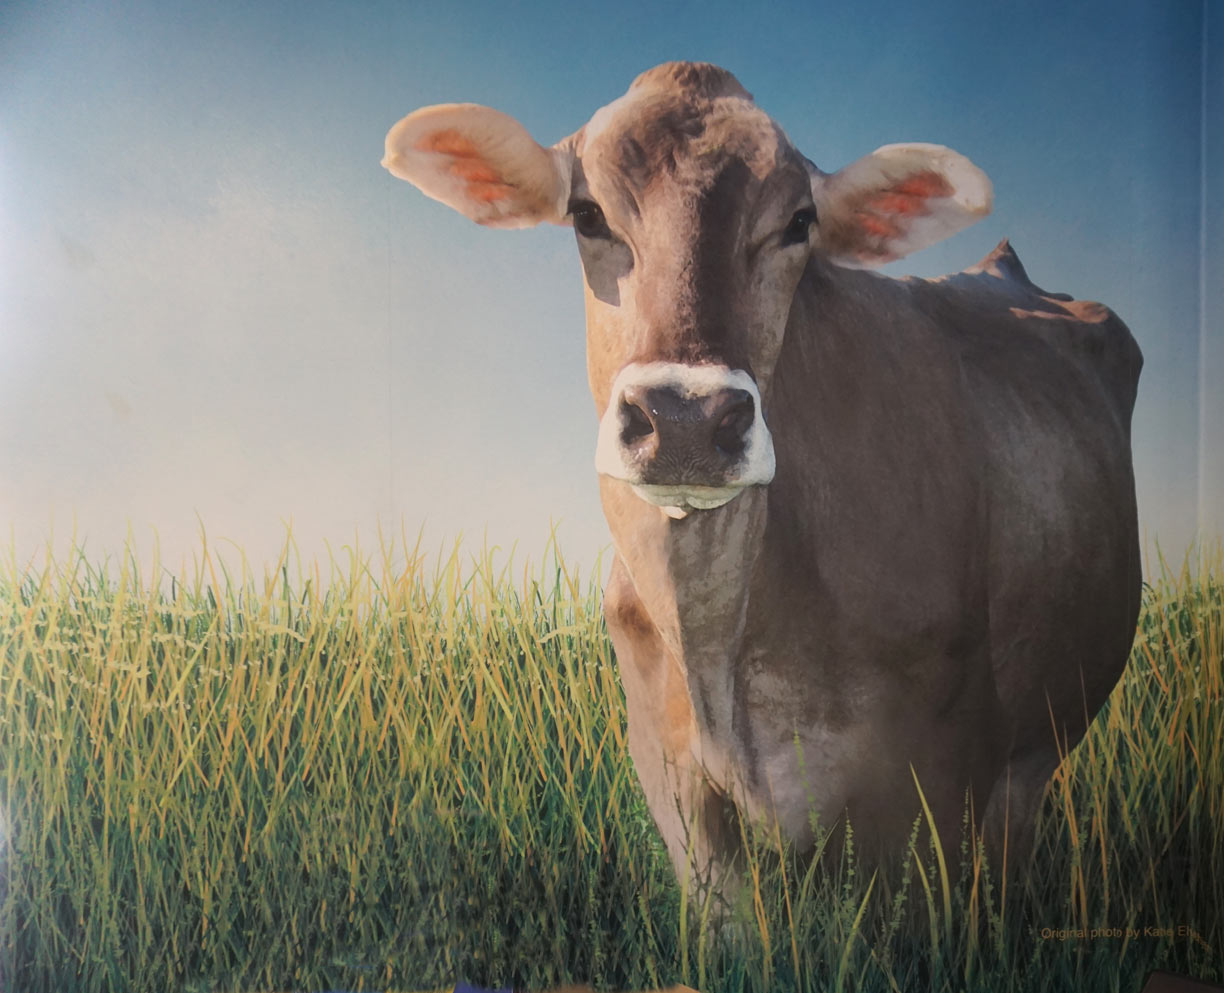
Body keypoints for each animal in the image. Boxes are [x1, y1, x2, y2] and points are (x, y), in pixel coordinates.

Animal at [382, 62, 1143, 909]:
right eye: (587, 213)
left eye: (799, 223)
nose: (684, 416)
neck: (718, 642)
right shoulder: (683, 799)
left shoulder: (930, 790)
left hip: (1026, 755)